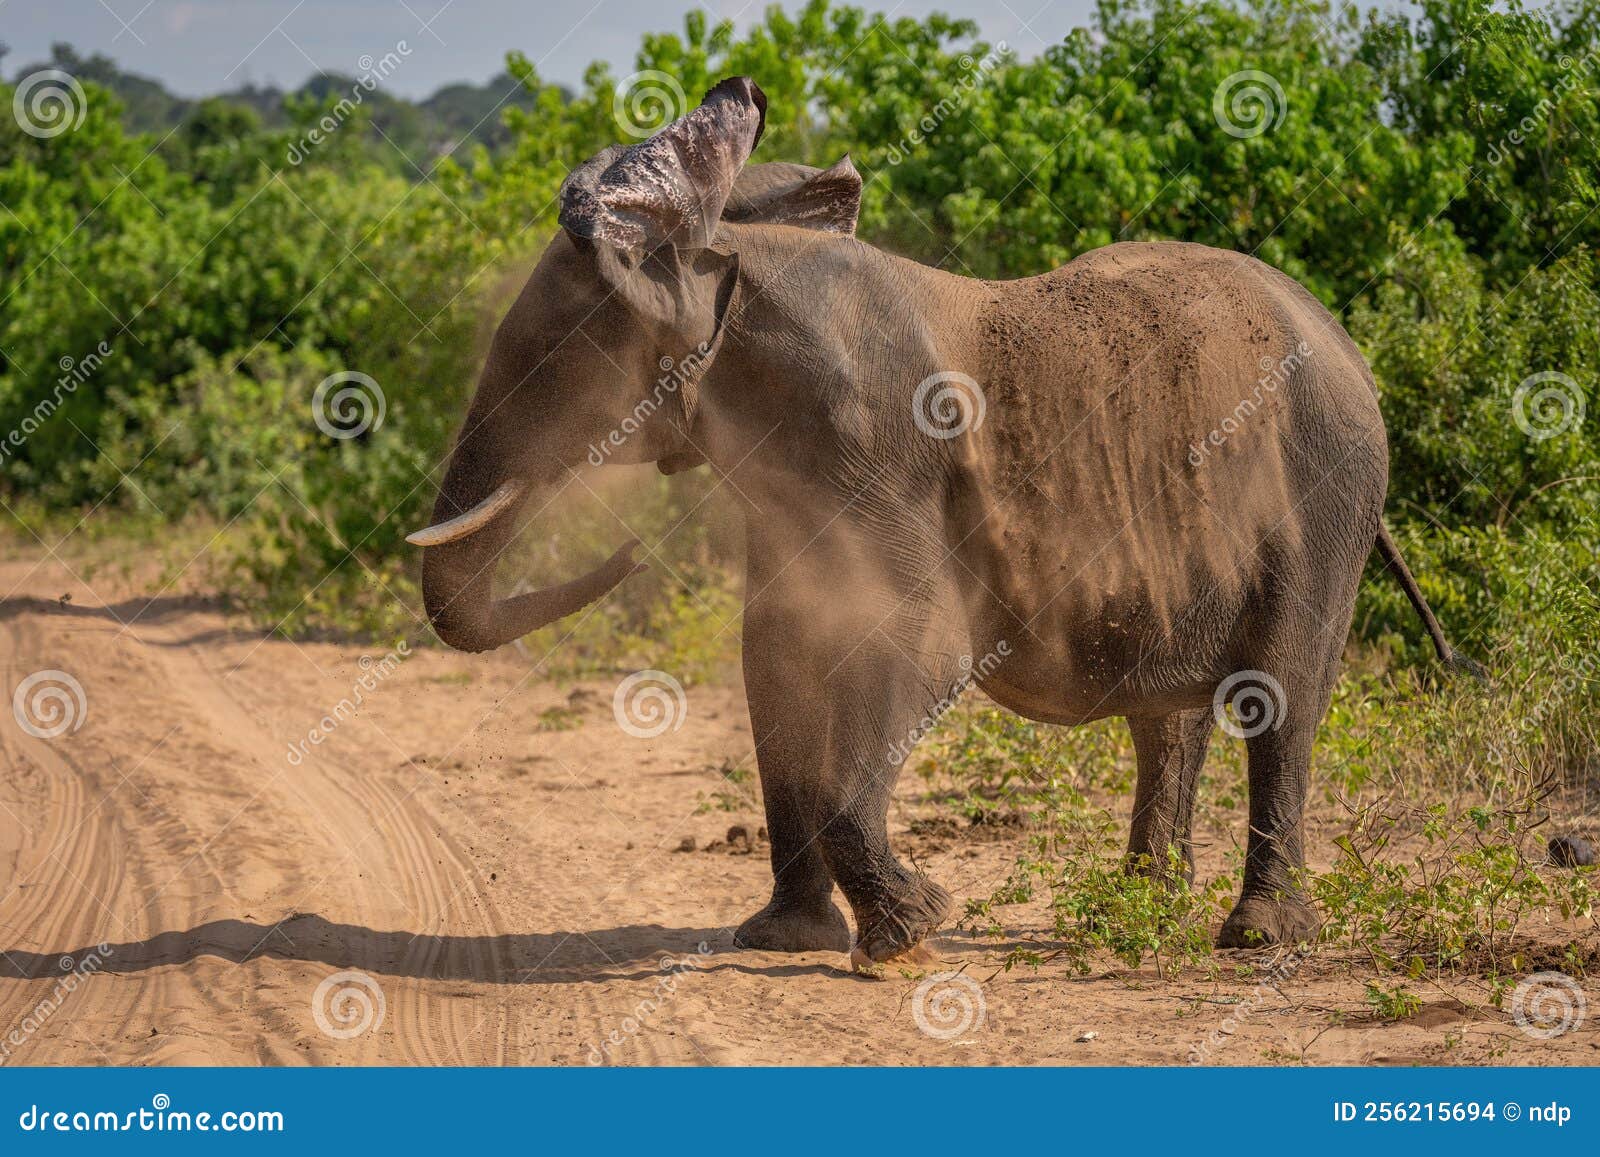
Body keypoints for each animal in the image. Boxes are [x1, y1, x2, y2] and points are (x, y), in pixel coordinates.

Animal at [409, 77, 1473, 964]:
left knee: (1279, 694)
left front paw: (909, 934)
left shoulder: (882, 453)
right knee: (1170, 720)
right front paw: (784, 939)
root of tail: (1343, 339)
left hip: (1328, 491)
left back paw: (1255, 937)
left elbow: (914, 645)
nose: (628, 550)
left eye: (560, 354)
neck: (737, 264)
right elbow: (775, 657)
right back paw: (1140, 908)